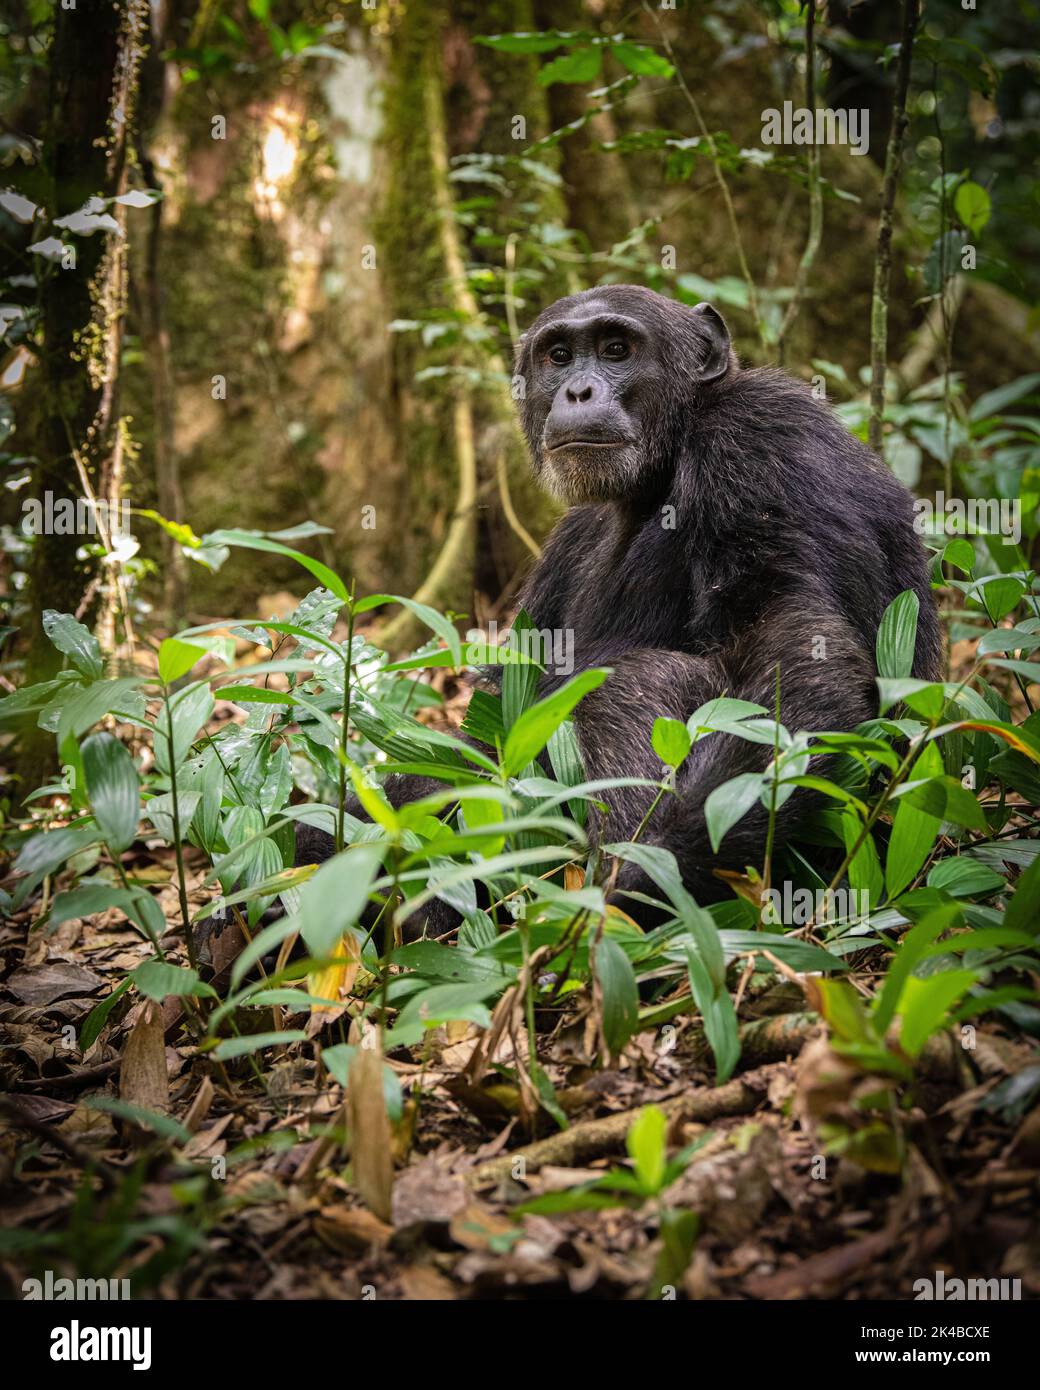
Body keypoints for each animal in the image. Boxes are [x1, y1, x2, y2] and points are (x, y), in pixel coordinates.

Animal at [295, 284, 941, 918]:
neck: (662, 466)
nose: (579, 389)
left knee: (637, 683)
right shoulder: (566, 543)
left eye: (615, 349)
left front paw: (645, 876)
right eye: (558, 357)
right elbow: (494, 722)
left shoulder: (760, 441)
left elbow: (791, 635)